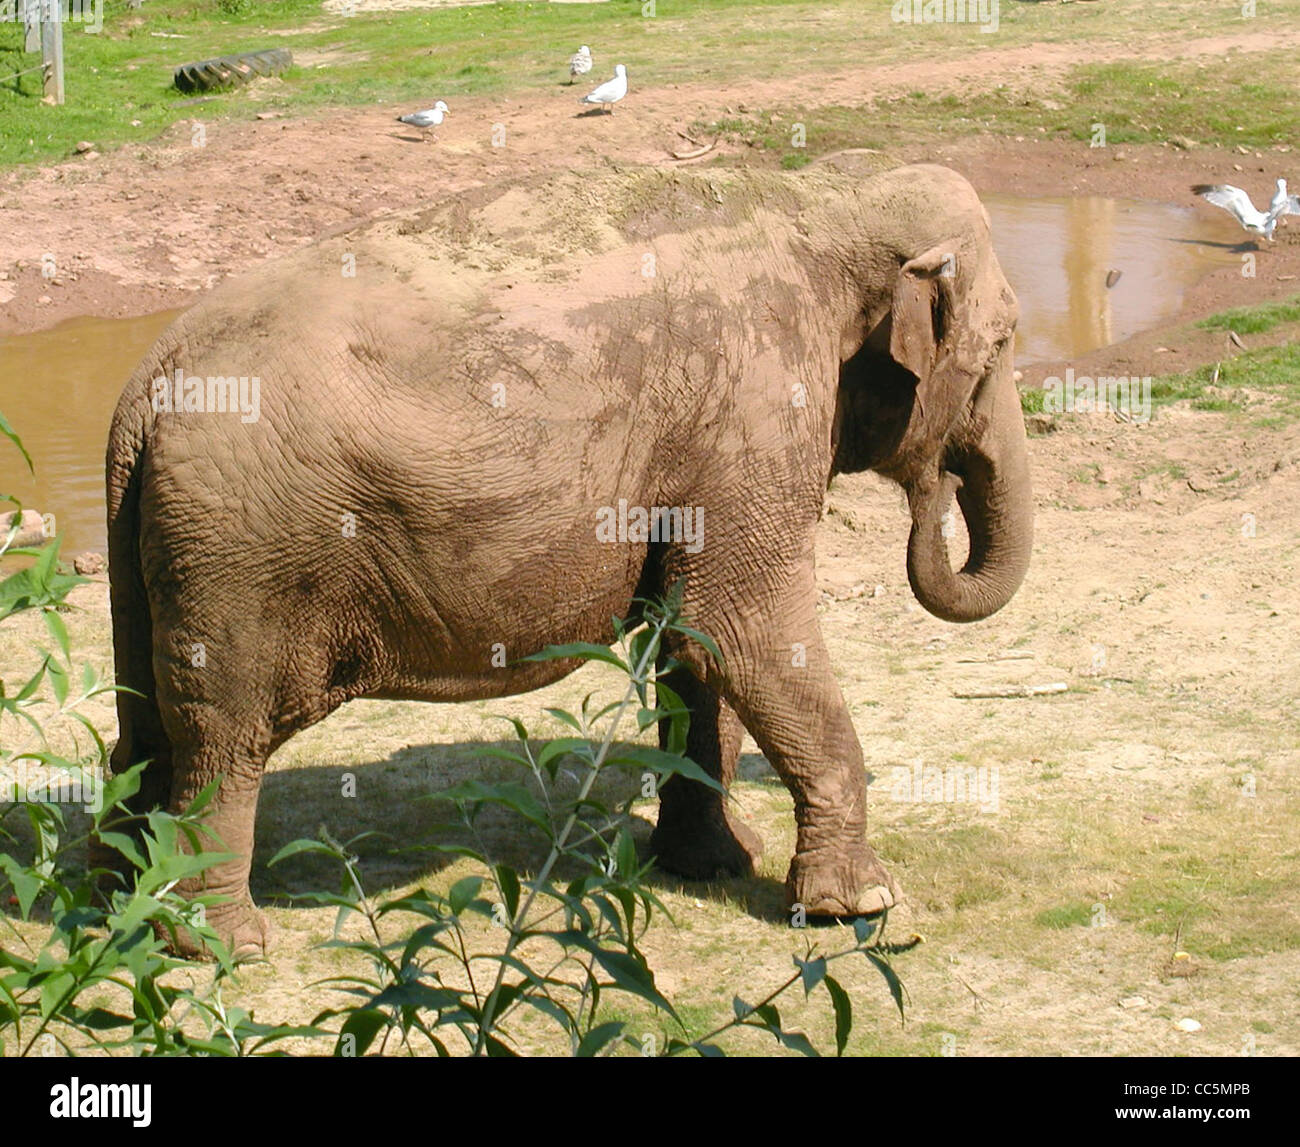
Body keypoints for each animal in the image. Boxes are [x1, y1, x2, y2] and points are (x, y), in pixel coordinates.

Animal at [101, 162, 1032, 957]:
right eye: (1002, 343)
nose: (939, 486)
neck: (824, 199)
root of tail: (147, 382)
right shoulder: (757, 409)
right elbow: (746, 628)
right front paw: (862, 905)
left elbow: (693, 645)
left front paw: (717, 861)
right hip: (239, 560)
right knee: (224, 735)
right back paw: (222, 943)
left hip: (145, 544)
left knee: (145, 724)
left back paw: (119, 905)